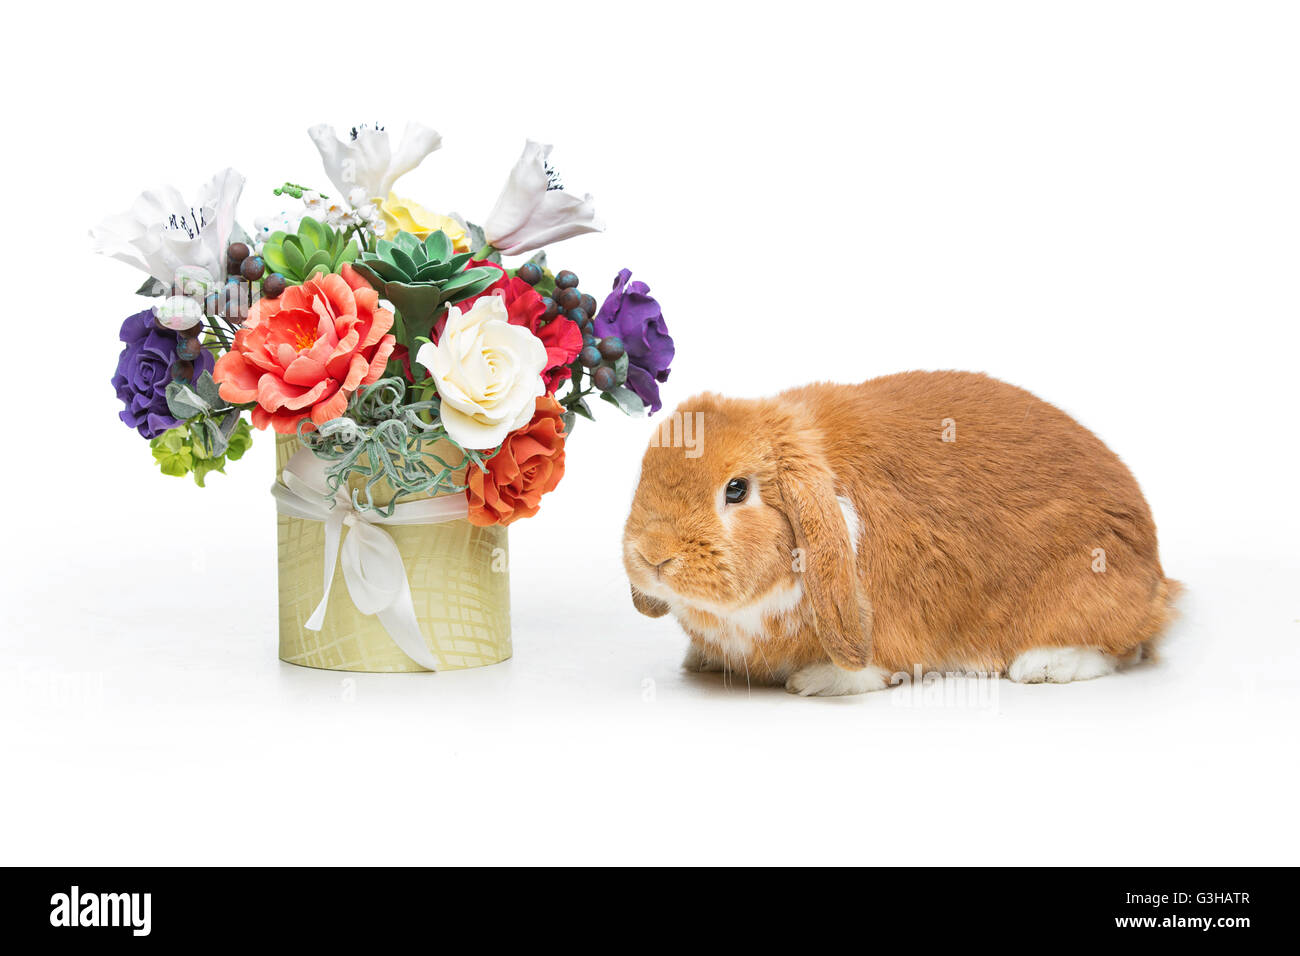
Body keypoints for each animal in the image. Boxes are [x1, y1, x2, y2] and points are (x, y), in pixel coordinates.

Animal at [621, 370, 1179, 696]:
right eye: (645, 473)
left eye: (736, 490)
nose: (653, 556)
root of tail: (1156, 579)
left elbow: (870, 668)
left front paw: (814, 681)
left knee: (1119, 649)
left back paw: (1042, 666)